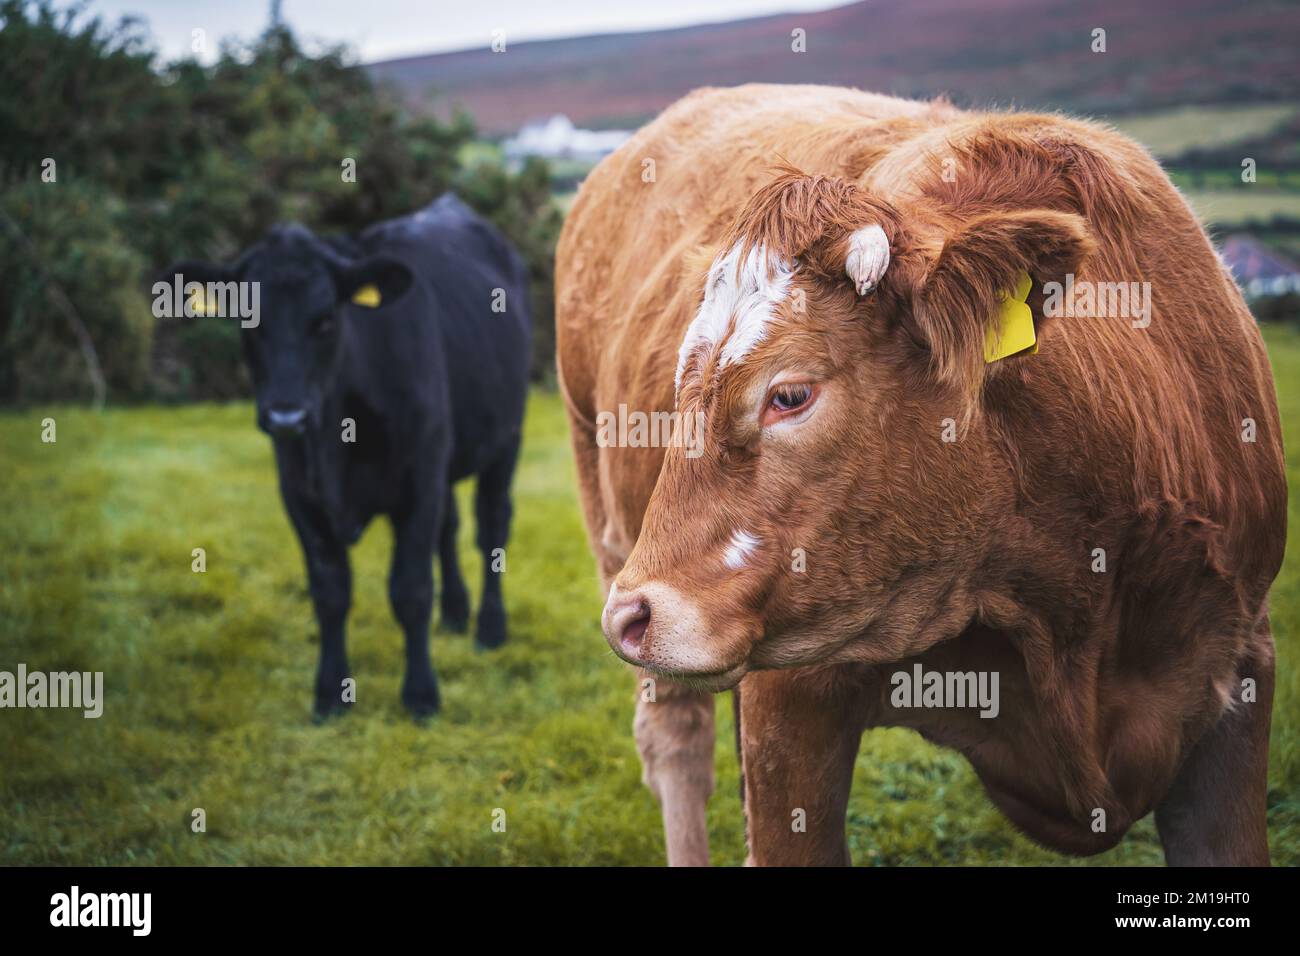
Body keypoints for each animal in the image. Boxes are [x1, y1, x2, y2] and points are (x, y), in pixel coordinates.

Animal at [168, 194, 530, 719]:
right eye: (247, 321)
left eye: (325, 320)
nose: (286, 414)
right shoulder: (299, 491)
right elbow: (330, 592)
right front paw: (329, 692)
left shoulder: (418, 480)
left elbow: (410, 589)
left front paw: (421, 694)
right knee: (450, 527)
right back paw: (455, 613)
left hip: (505, 440)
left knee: (491, 528)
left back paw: (489, 627)